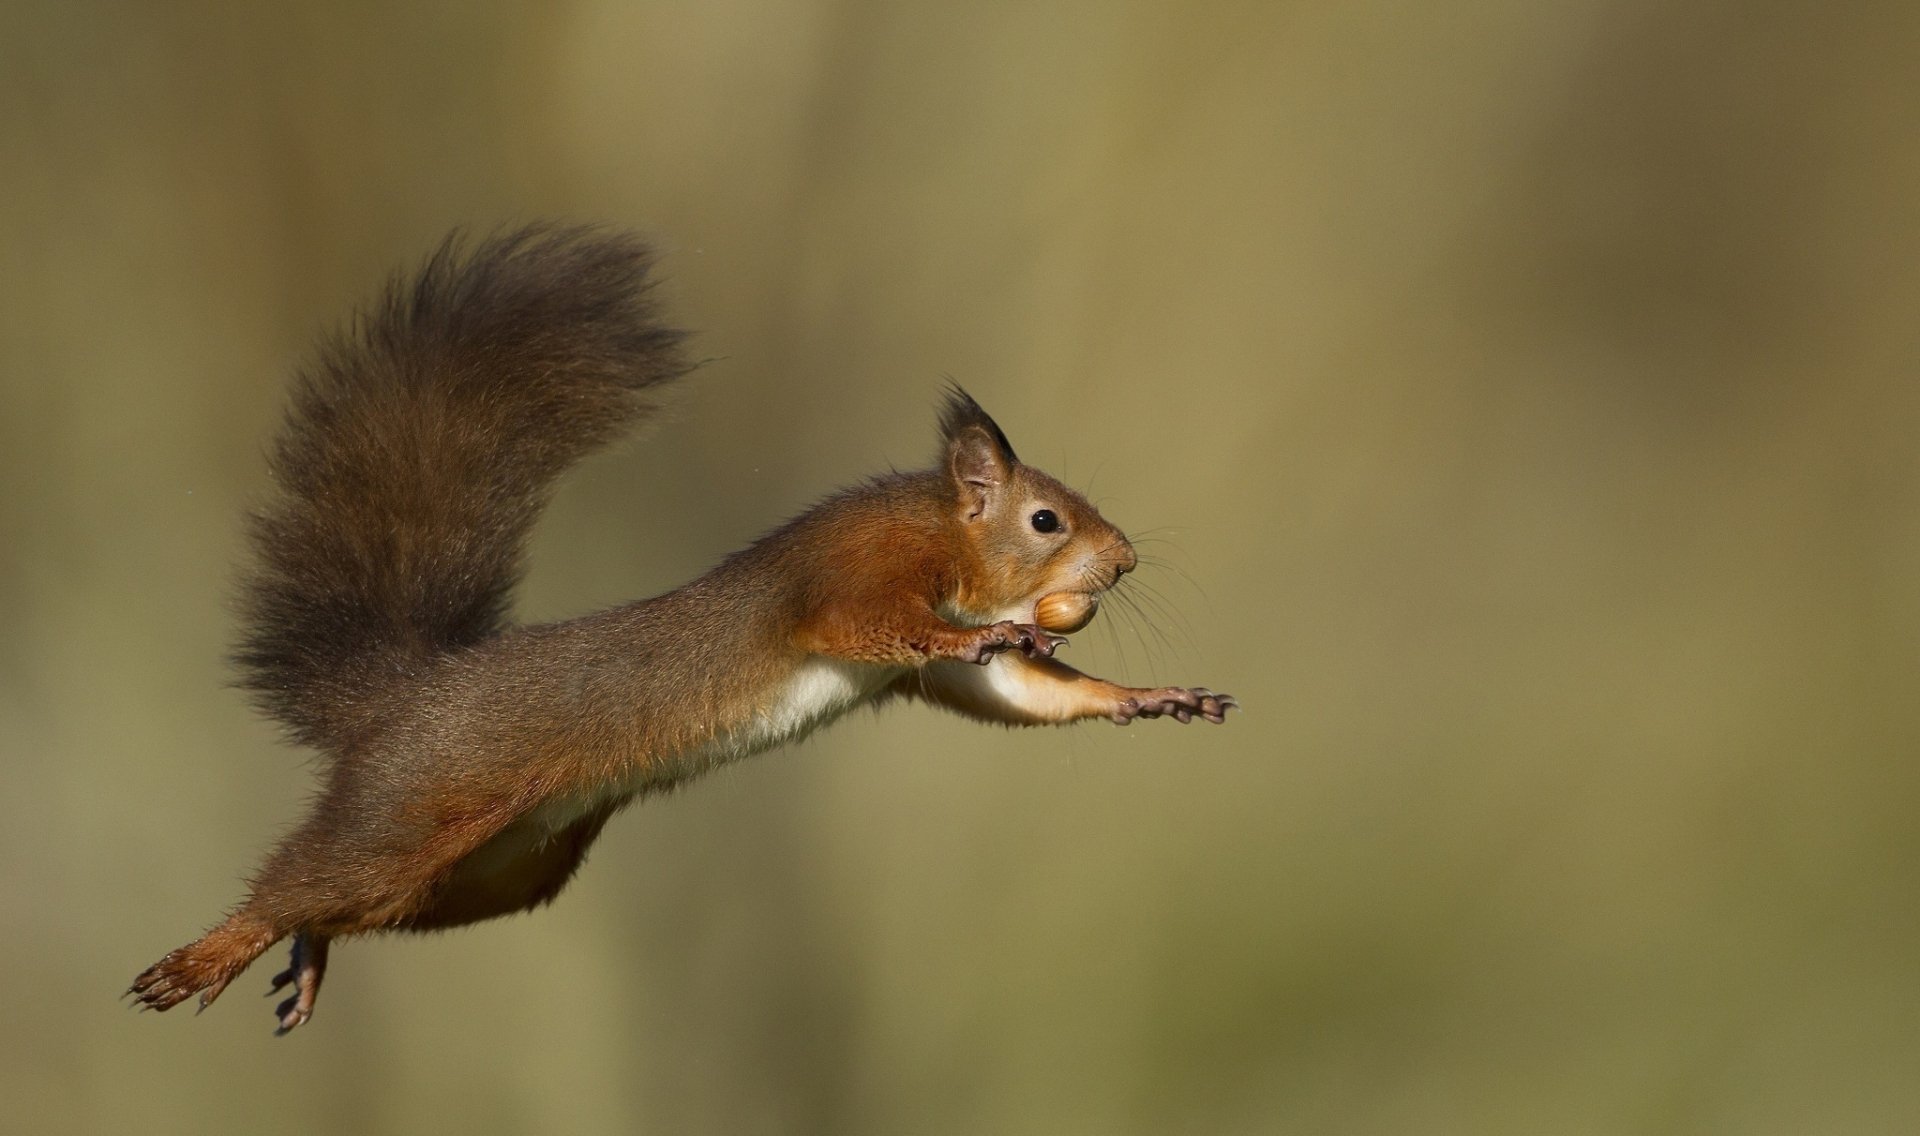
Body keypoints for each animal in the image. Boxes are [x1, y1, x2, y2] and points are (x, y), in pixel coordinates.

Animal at [129, 223, 1236, 1034]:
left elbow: (1017, 692)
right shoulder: (852, 573)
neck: (943, 538)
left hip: (500, 869)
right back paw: (208, 954)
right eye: (1048, 520)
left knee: (339, 910)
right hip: (421, 808)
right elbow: (876, 628)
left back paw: (304, 959)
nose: (1125, 561)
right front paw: (977, 636)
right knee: (307, 880)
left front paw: (1150, 696)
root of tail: (405, 694)